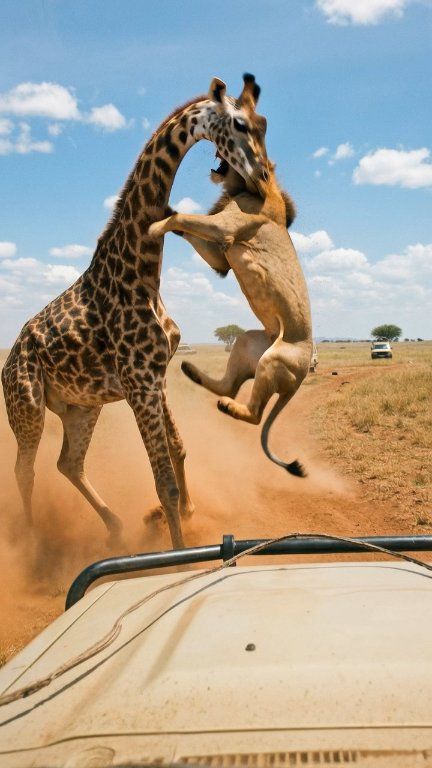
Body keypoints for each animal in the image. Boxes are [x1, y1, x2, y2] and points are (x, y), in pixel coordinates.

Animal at [1, 74, 269, 551]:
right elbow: (162, 482)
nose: (261, 176)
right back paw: (32, 543)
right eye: (240, 124)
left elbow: (179, 450)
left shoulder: (155, 376)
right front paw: (181, 553)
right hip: (26, 407)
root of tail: (6, 365)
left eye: (264, 125)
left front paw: (189, 514)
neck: (143, 271)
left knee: (68, 463)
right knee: (24, 471)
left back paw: (114, 526)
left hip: (81, 406)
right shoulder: (139, 381)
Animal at [149, 157, 312, 477]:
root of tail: (301, 376)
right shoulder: (220, 255)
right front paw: (165, 209)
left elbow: (182, 218)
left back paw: (228, 406)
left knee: (255, 414)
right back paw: (192, 371)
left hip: (275, 358)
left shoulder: (226, 225)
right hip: (247, 342)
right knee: (230, 386)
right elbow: (184, 224)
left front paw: (156, 224)